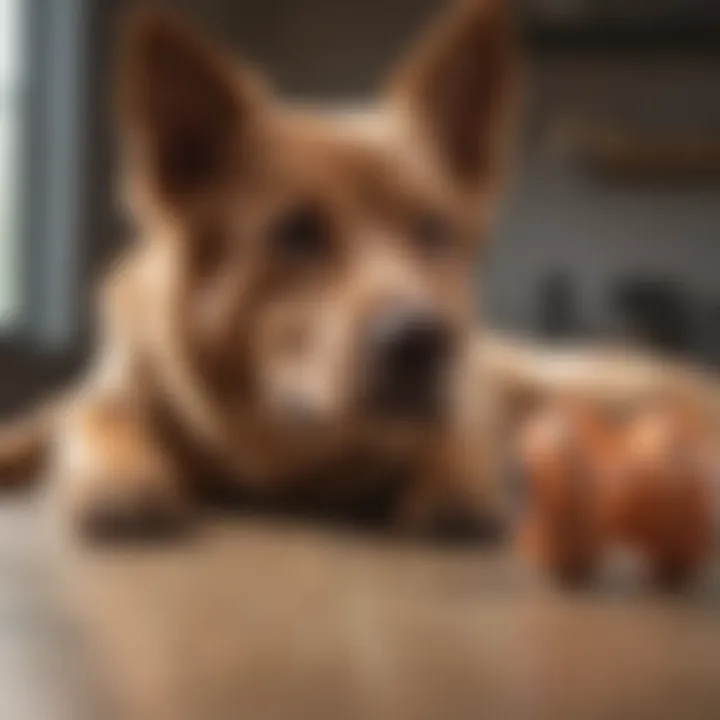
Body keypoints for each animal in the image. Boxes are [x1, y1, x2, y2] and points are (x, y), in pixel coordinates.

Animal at [0, 0, 716, 540]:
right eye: (295, 232)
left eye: (434, 230)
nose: (424, 344)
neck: (281, 449)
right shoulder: (107, 392)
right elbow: (93, 419)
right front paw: (118, 477)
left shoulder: (463, 400)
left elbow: (458, 434)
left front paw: (459, 485)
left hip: (594, 388)